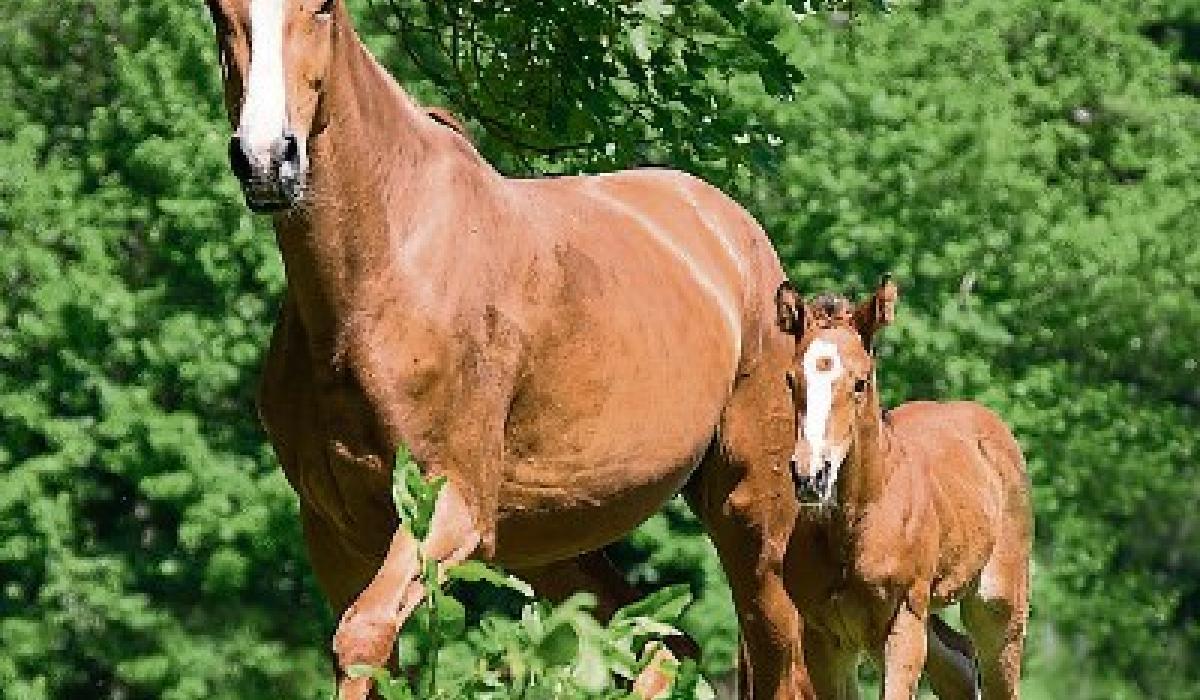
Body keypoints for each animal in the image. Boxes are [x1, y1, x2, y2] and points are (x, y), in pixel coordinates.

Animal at [201, 1, 808, 697]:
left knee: (777, 650)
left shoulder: (454, 506)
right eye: (220, 12)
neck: (385, 266)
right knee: (664, 647)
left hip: (751, 514)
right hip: (556, 538)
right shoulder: (335, 528)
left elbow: (361, 635)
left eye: (322, 9)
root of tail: (739, 237)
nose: (267, 159)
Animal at [774, 277, 1033, 699]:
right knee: (959, 664)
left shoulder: (905, 619)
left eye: (860, 383)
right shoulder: (824, 636)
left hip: (997, 606)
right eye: (791, 379)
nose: (811, 475)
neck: (855, 527)